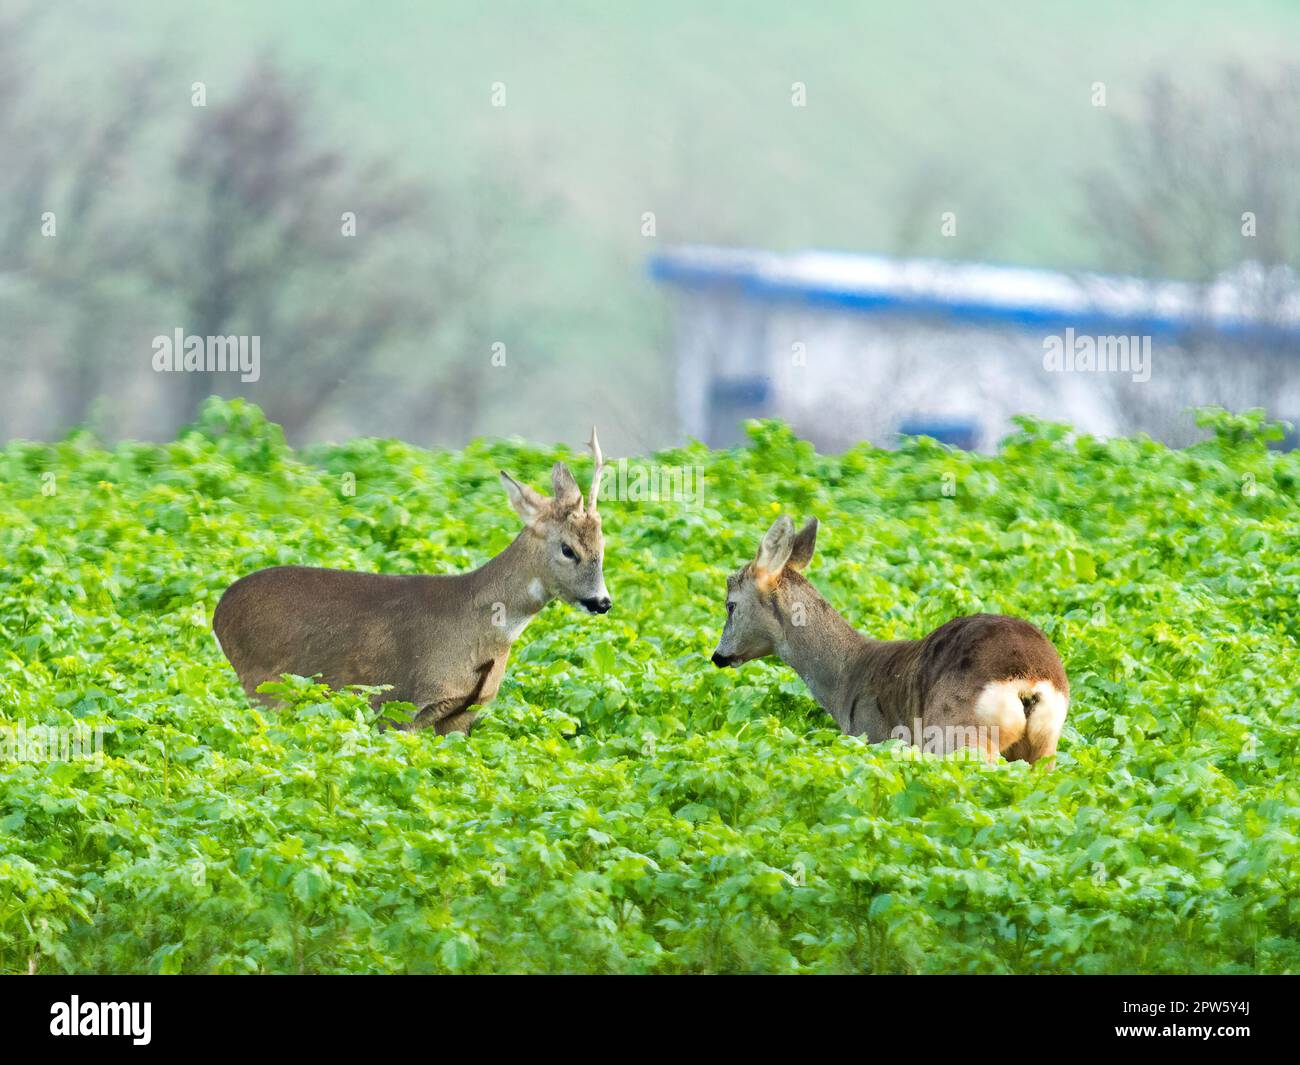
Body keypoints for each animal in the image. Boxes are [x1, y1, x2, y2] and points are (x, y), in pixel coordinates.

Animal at [213, 430, 612, 734]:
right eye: (568, 549)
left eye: (603, 545)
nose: (602, 602)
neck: (482, 628)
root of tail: (219, 612)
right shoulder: (403, 703)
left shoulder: (462, 715)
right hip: (265, 683)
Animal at [710, 515, 1069, 764]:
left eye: (730, 604)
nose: (718, 656)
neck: (847, 677)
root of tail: (1030, 682)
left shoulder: (873, 735)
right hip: (1043, 748)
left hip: (958, 735)